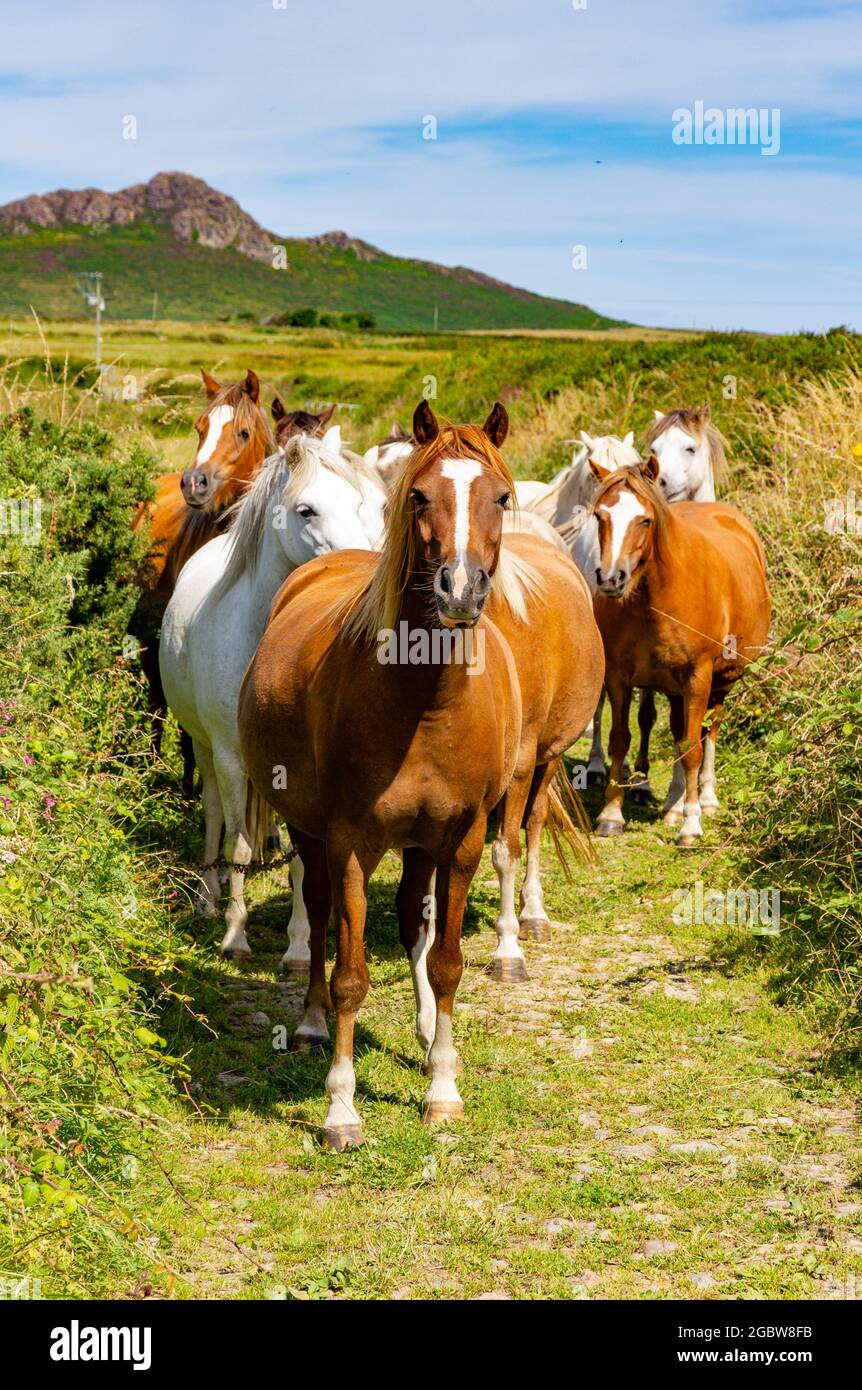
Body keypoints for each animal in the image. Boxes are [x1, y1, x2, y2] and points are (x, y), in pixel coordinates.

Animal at [159, 434, 386, 966]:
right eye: (307, 510)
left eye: (363, 503)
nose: (363, 566)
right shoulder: (229, 757)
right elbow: (238, 846)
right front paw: (235, 935)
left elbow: (303, 859)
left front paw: (300, 946)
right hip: (205, 750)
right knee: (214, 816)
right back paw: (208, 899)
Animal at [238, 400, 523, 1148]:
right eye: (419, 495)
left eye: (501, 496)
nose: (460, 589)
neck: (423, 702)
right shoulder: (348, 845)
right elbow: (350, 974)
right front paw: (340, 1108)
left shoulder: (462, 840)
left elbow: (446, 961)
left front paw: (443, 1086)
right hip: (309, 831)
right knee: (316, 915)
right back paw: (311, 1024)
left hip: (422, 845)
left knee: (414, 924)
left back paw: (425, 1037)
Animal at [590, 458, 770, 847]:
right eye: (599, 515)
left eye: (645, 520)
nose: (612, 579)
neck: (653, 596)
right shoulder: (619, 676)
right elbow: (621, 740)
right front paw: (611, 816)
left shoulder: (698, 677)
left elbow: (692, 746)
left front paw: (692, 824)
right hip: (674, 689)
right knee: (676, 732)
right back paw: (674, 804)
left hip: (721, 682)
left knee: (709, 731)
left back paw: (705, 799)